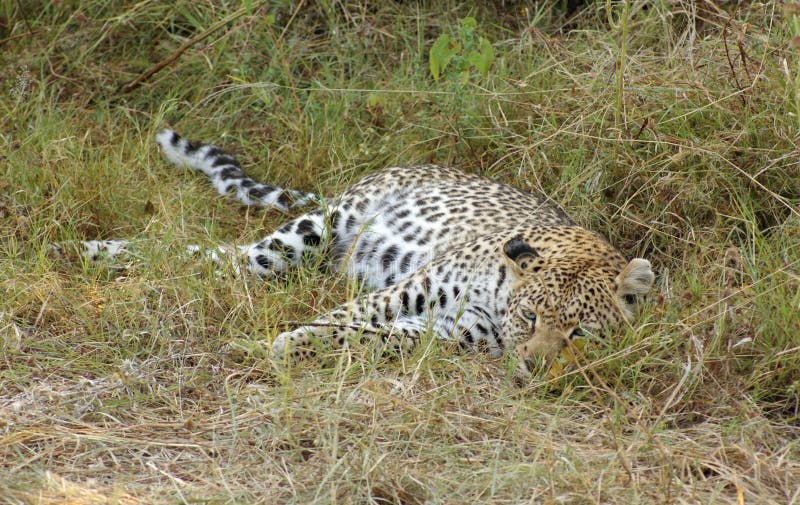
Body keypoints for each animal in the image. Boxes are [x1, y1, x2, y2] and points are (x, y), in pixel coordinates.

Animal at [61, 129, 655, 377]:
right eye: (532, 317)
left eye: (580, 334)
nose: (533, 365)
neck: (500, 293)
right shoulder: (411, 289)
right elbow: (344, 318)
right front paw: (289, 342)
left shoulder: (446, 331)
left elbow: (376, 339)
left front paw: (294, 347)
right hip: (312, 232)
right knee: (227, 256)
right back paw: (92, 250)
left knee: (222, 259)